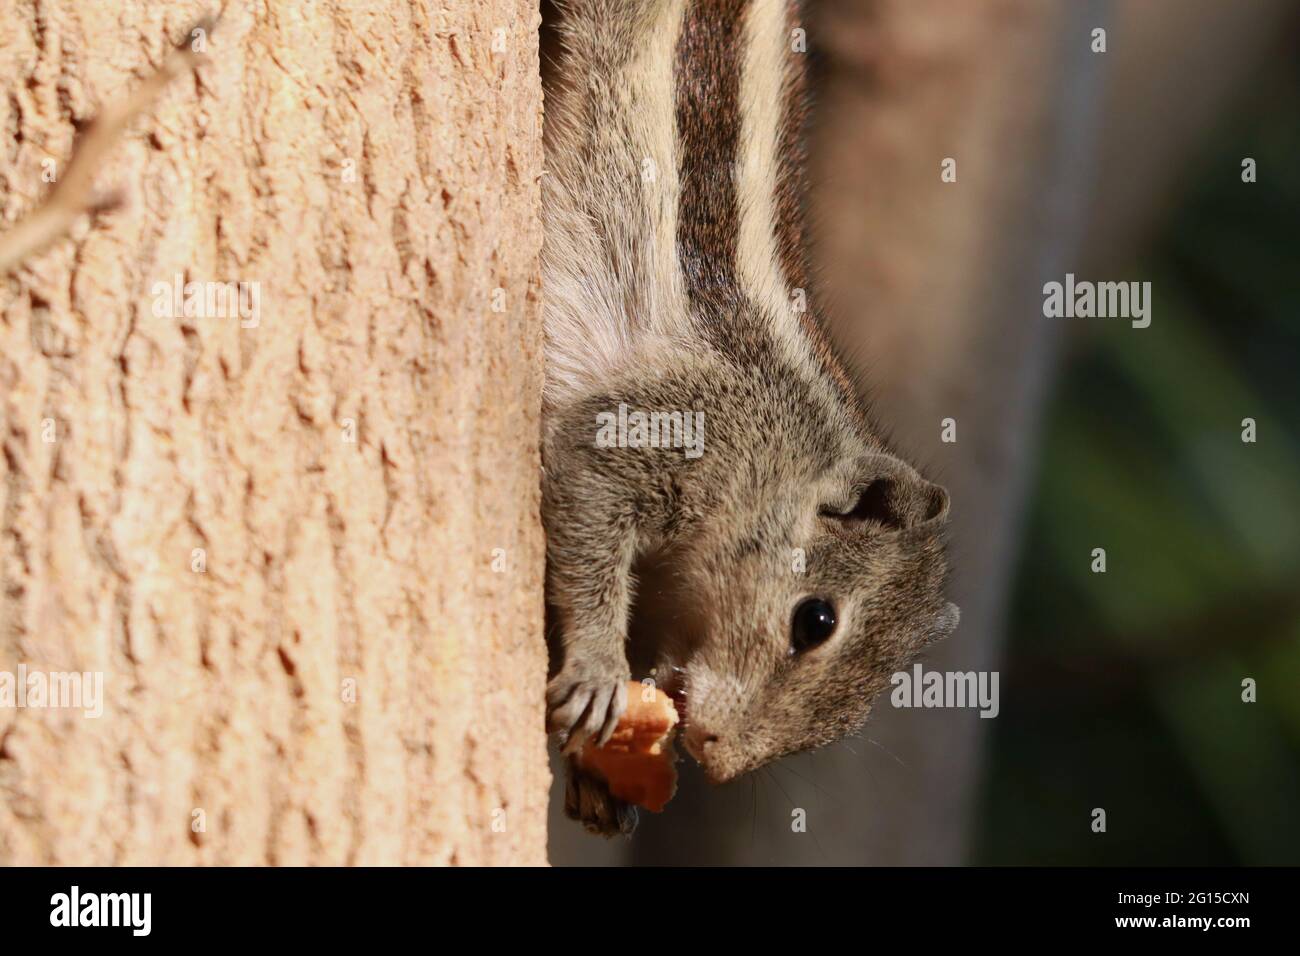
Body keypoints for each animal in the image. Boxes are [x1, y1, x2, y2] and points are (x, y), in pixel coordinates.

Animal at [541, 0, 959, 836]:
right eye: (814, 621)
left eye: (864, 708)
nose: (718, 757)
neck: (786, 454)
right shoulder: (672, 427)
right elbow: (587, 479)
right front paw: (600, 666)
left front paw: (597, 777)